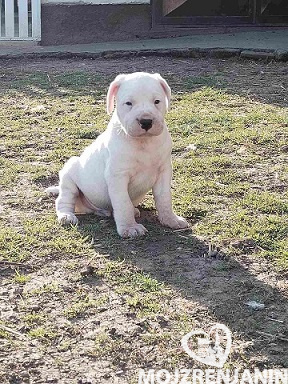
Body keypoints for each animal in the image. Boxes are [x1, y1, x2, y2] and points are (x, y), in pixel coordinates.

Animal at [47, 72, 189, 237]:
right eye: (128, 103)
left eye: (157, 101)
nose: (146, 121)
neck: (144, 142)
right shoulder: (118, 177)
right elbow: (123, 202)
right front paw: (129, 228)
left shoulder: (164, 172)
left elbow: (164, 198)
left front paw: (170, 219)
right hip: (69, 177)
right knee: (64, 200)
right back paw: (67, 216)